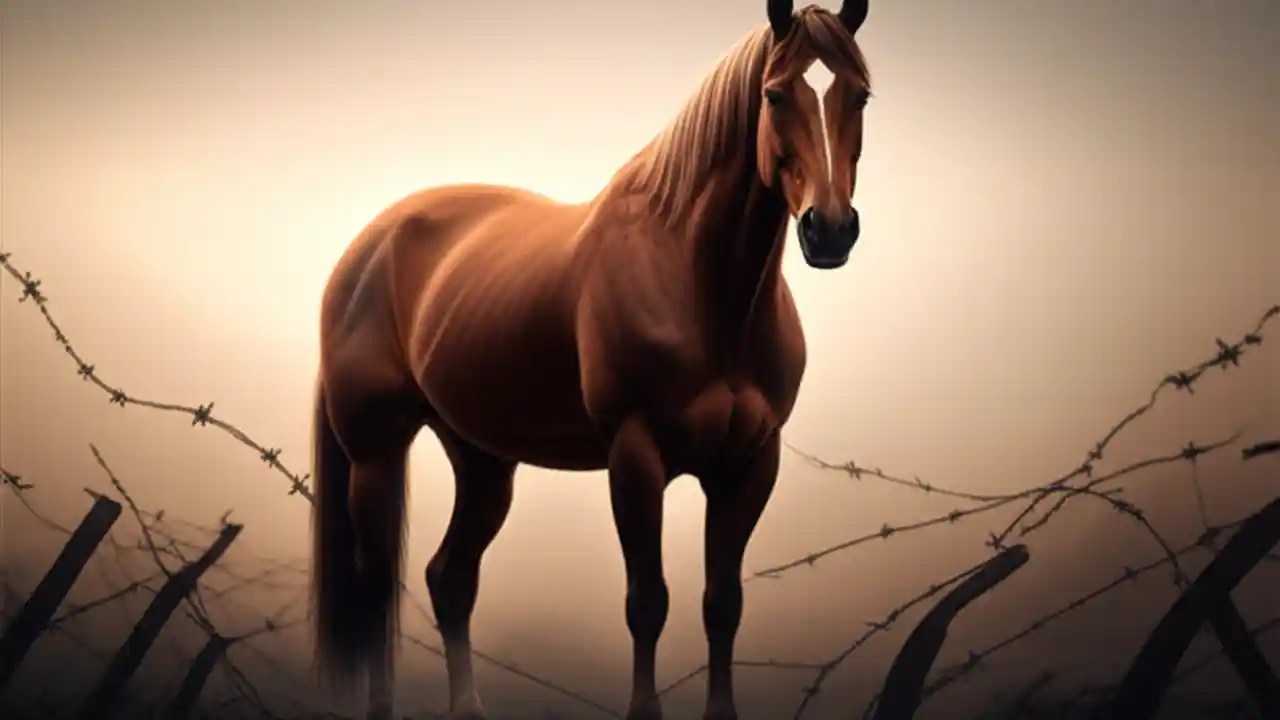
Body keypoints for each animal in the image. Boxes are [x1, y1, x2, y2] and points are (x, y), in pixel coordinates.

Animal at [311, 2, 873, 718]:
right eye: (775, 94)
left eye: (859, 94)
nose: (829, 230)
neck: (698, 284)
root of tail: (365, 249)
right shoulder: (635, 455)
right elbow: (647, 603)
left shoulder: (750, 462)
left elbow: (722, 605)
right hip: (376, 455)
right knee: (379, 590)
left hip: (483, 461)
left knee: (450, 579)